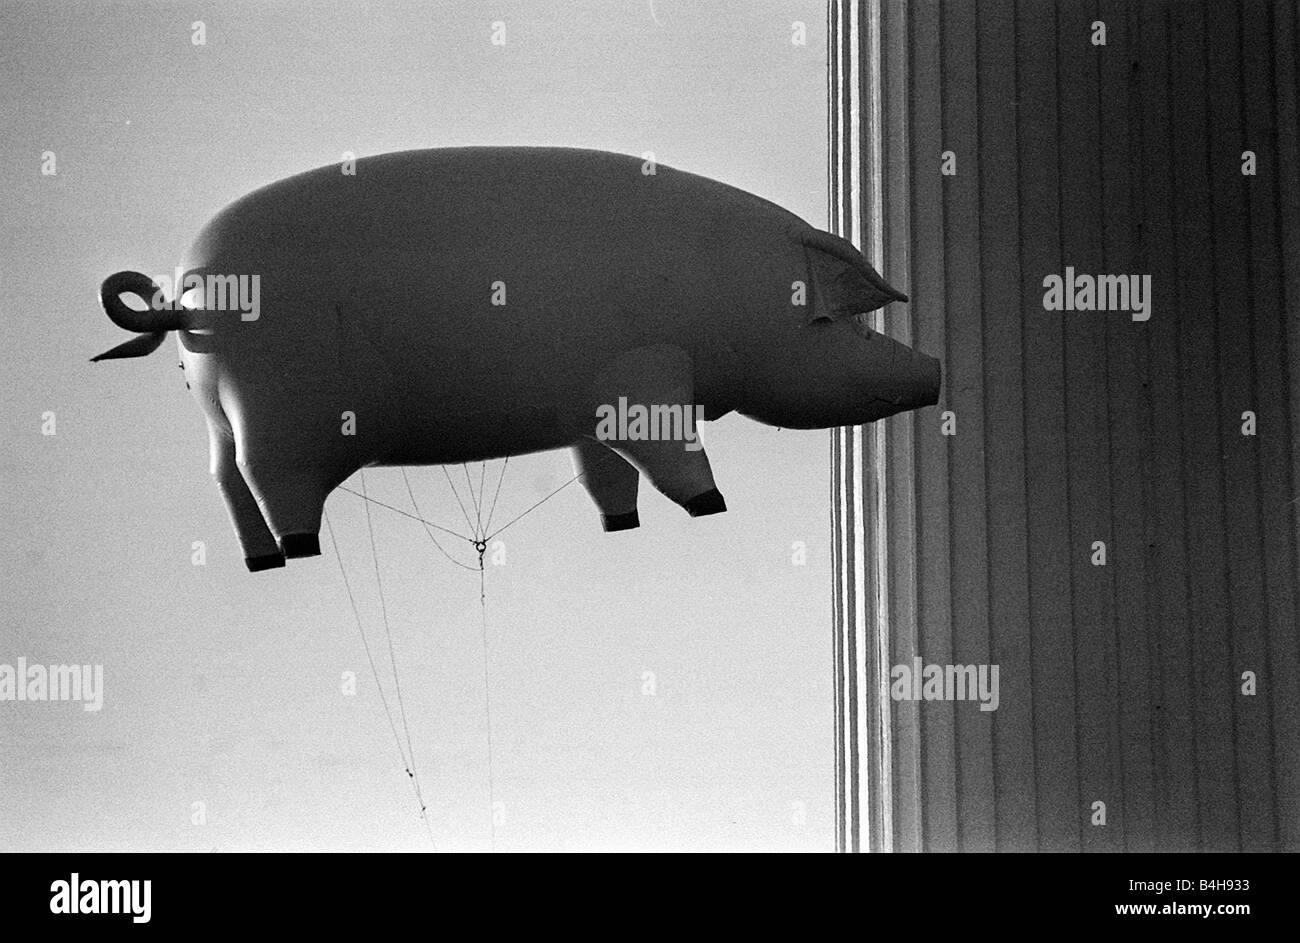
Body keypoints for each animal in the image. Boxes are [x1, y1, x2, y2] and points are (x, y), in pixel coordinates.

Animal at [94, 147, 940, 570]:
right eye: (838, 323)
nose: (931, 371)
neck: (733, 293)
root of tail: (184, 301)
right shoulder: (648, 369)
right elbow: (671, 453)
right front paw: (713, 505)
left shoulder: (591, 398)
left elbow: (606, 472)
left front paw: (623, 525)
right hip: (282, 405)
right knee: (268, 478)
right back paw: (295, 549)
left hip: (220, 407)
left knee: (225, 478)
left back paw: (265, 560)